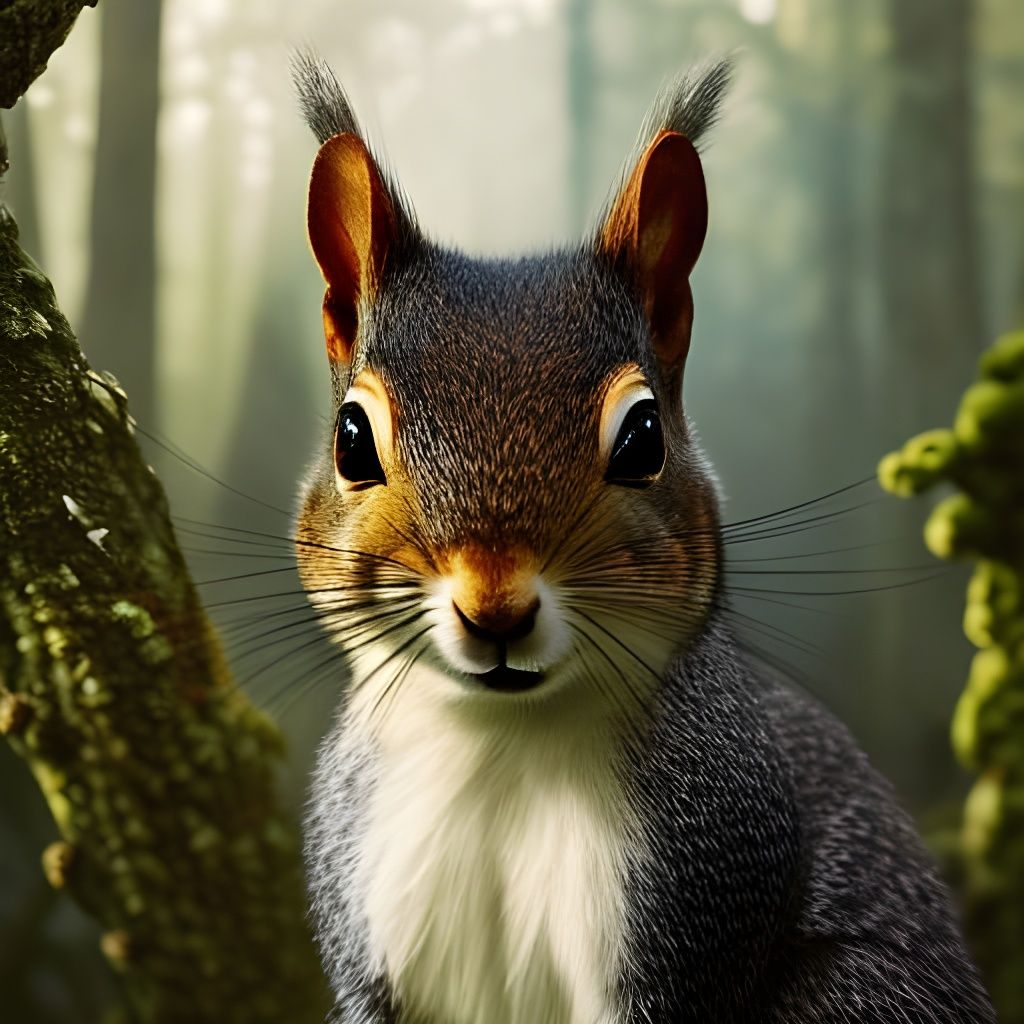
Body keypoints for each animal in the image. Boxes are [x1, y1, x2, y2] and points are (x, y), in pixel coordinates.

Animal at [290, 52, 995, 1024]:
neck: (502, 746)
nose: (495, 608)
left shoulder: (699, 891)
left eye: (644, 436)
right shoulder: (360, 911)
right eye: (351, 438)